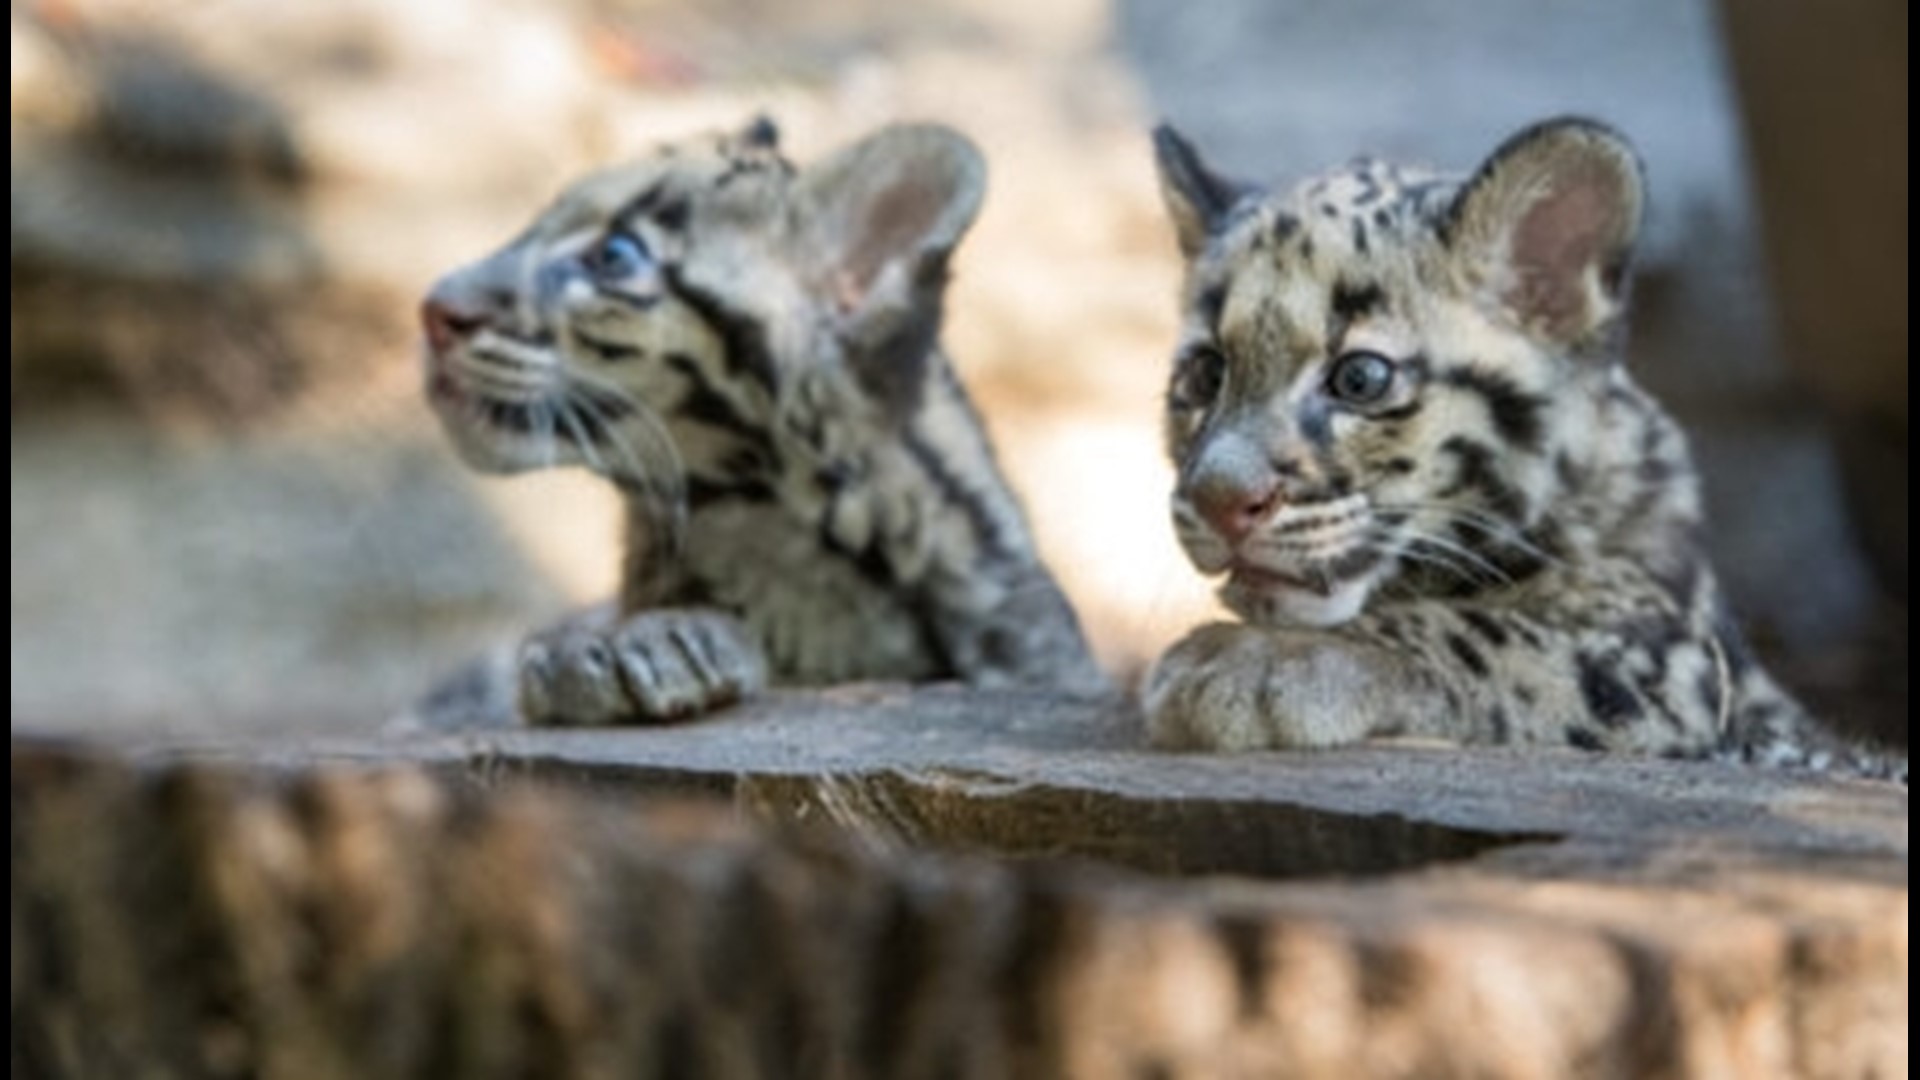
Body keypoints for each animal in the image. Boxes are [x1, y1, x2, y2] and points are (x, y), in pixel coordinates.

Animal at [1141, 116, 1904, 782]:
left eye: (1360, 379)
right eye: (1203, 375)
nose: (1218, 500)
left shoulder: (1668, 661)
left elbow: (1494, 634)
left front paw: (1256, 661)